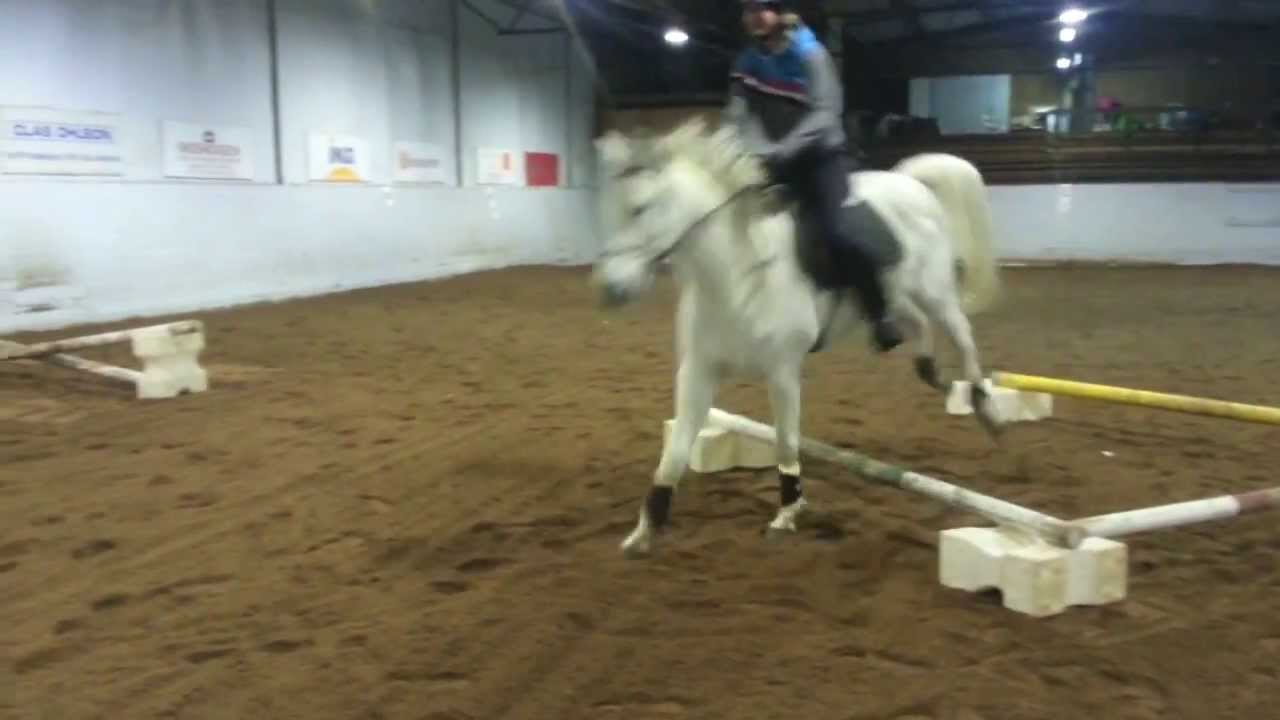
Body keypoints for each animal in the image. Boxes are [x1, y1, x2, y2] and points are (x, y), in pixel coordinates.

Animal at [590, 117, 1003, 556]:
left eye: (640, 208)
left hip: (935, 291)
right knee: (915, 324)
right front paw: (644, 531)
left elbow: (786, 440)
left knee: (962, 335)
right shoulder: (698, 371)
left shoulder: (782, 371)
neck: (736, 278)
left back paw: (987, 410)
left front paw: (788, 513)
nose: (608, 289)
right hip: (898, 295)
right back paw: (929, 370)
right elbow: (676, 452)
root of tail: (909, 183)